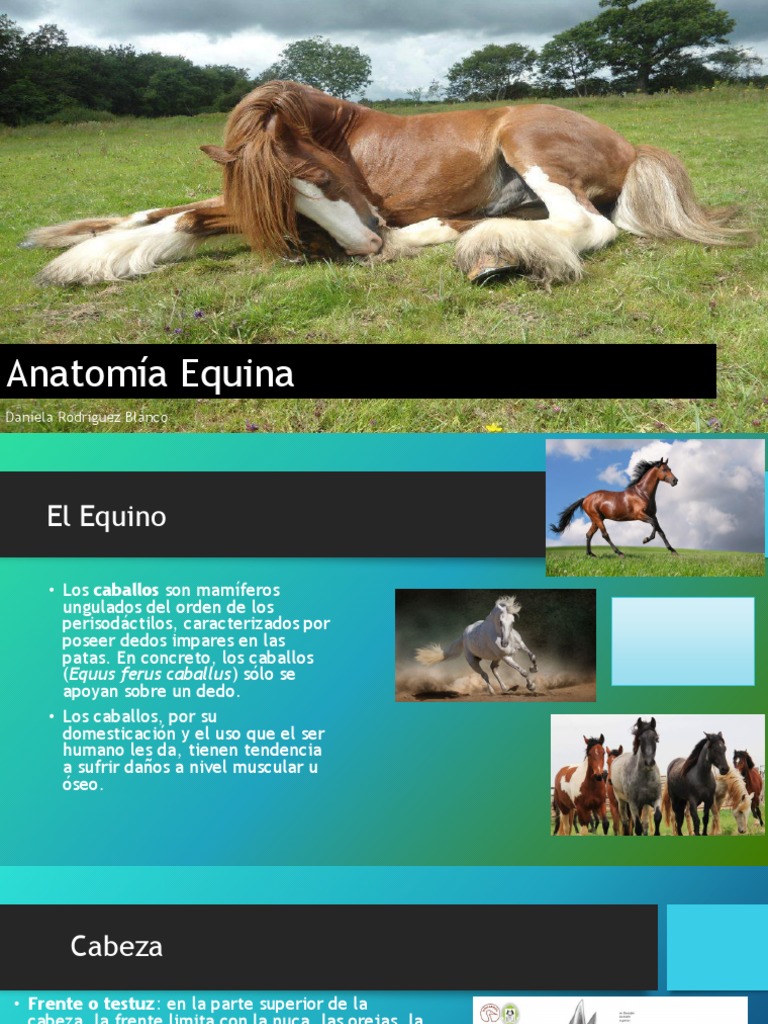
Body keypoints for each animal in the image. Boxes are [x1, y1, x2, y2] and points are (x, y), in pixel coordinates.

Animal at [23, 79, 750, 286]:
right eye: (291, 201)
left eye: (320, 175)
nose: (365, 246)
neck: (340, 134)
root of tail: (629, 144)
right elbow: (167, 212)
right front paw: (72, 243)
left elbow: (185, 217)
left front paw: (82, 260)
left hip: (527, 143)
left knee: (585, 223)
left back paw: (482, 248)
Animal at [549, 457, 678, 557]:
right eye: (664, 469)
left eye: (670, 469)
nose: (675, 480)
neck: (642, 493)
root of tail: (585, 499)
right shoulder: (640, 515)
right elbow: (654, 526)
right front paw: (645, 540)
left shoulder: (653, 515)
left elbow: (660, 531)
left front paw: (673, 551)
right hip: (597, 518)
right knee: (605, 535)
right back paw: (619, 553)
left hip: (595, 520)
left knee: (589, 534)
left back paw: (590, 554)